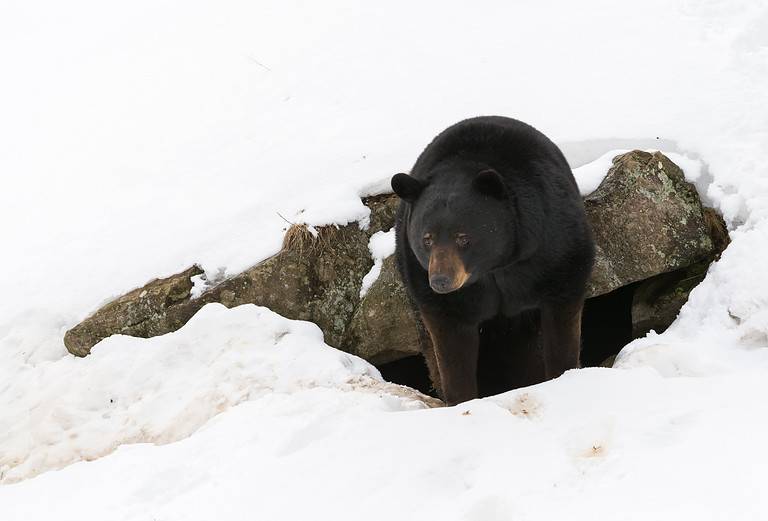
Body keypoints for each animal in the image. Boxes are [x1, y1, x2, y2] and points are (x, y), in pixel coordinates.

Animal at [391, 116, 595, 405]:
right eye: (426, 239)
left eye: (463, 238)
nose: (441, 280)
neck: (494, 268)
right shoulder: (426, 281)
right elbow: (451, 342)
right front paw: (460, 399)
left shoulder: (553, 247)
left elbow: (562, 309)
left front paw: (564, 377)